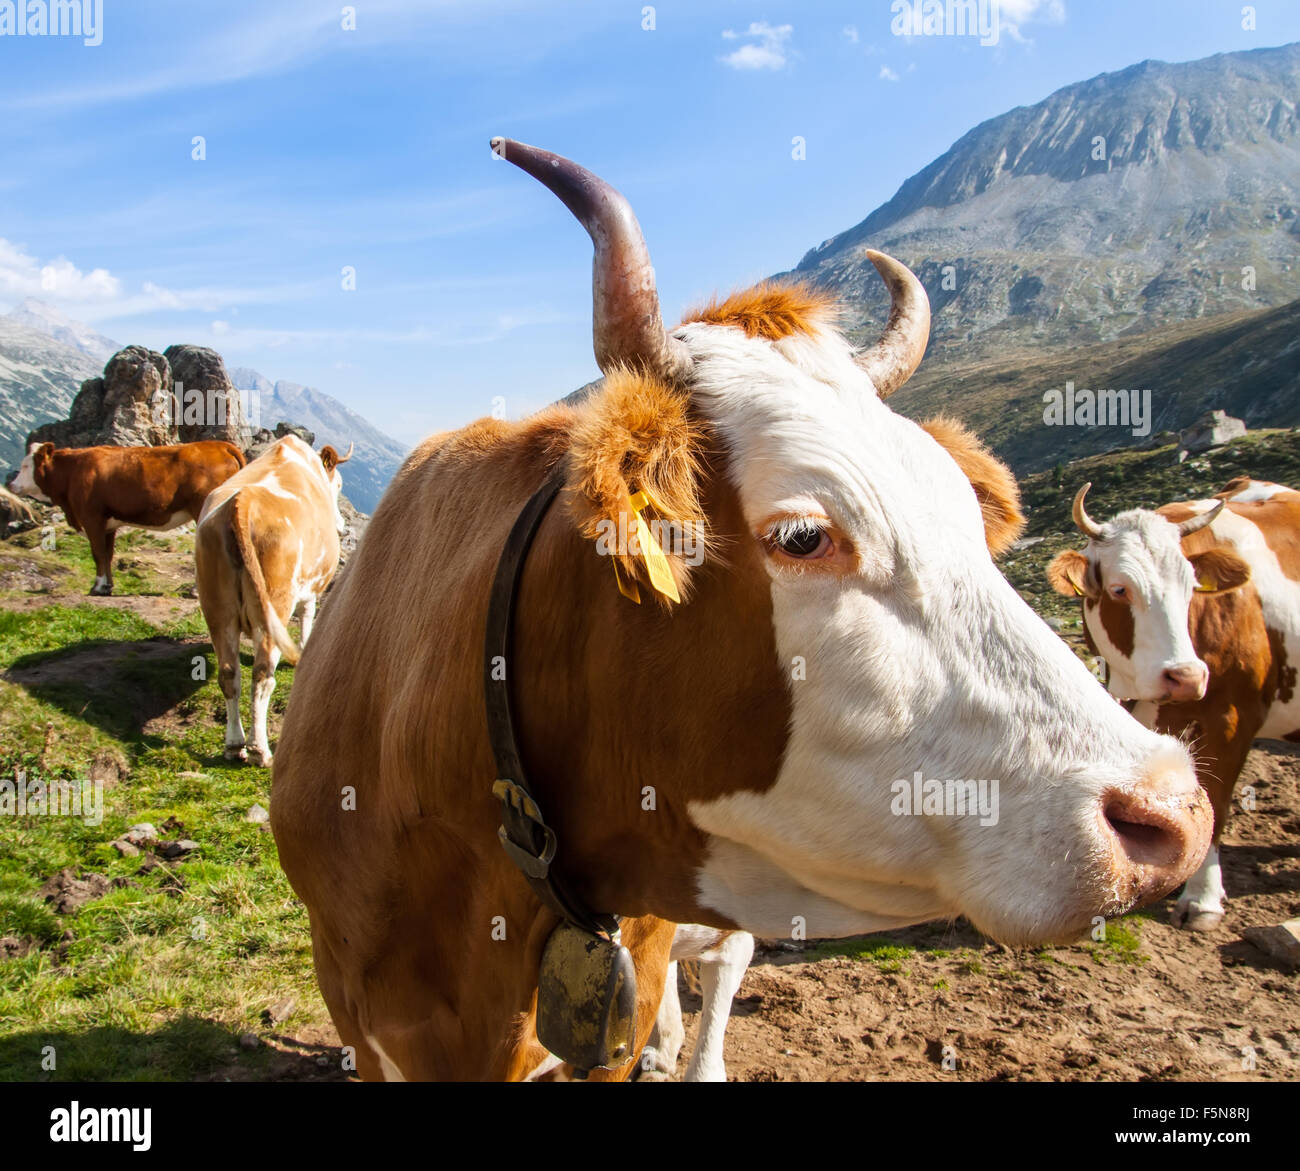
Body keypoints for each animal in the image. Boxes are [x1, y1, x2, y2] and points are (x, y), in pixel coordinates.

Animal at [10, 439, 245, 595]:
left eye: (25, 465)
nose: (11, 485)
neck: (73, 472)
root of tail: (218, 445)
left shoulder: (91, 518)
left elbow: (97, 554)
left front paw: (97, 586)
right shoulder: (108, 524)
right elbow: (107, 555)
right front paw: (107, 586)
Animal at [195, 435, 351, 767]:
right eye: (339, 485)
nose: (342, 525)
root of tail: (242, 503)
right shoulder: (312, 590)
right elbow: (307, 624)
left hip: (216, 606)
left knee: (229, 672)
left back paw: (234, 745)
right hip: (275, 604)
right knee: (262, 674)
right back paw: (259, 749)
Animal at [270, 139, 1212, 1083]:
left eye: (963, 513)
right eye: (803, 536)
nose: (1173, 812)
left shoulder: (623, 993)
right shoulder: (354, 997)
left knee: (721, 969)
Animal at [1046, 477, 1300, 930]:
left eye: (1191, 587)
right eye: (1120, 589)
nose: (1187, 677)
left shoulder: (1235, 717)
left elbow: (1214, 801)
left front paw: (1202, 899)